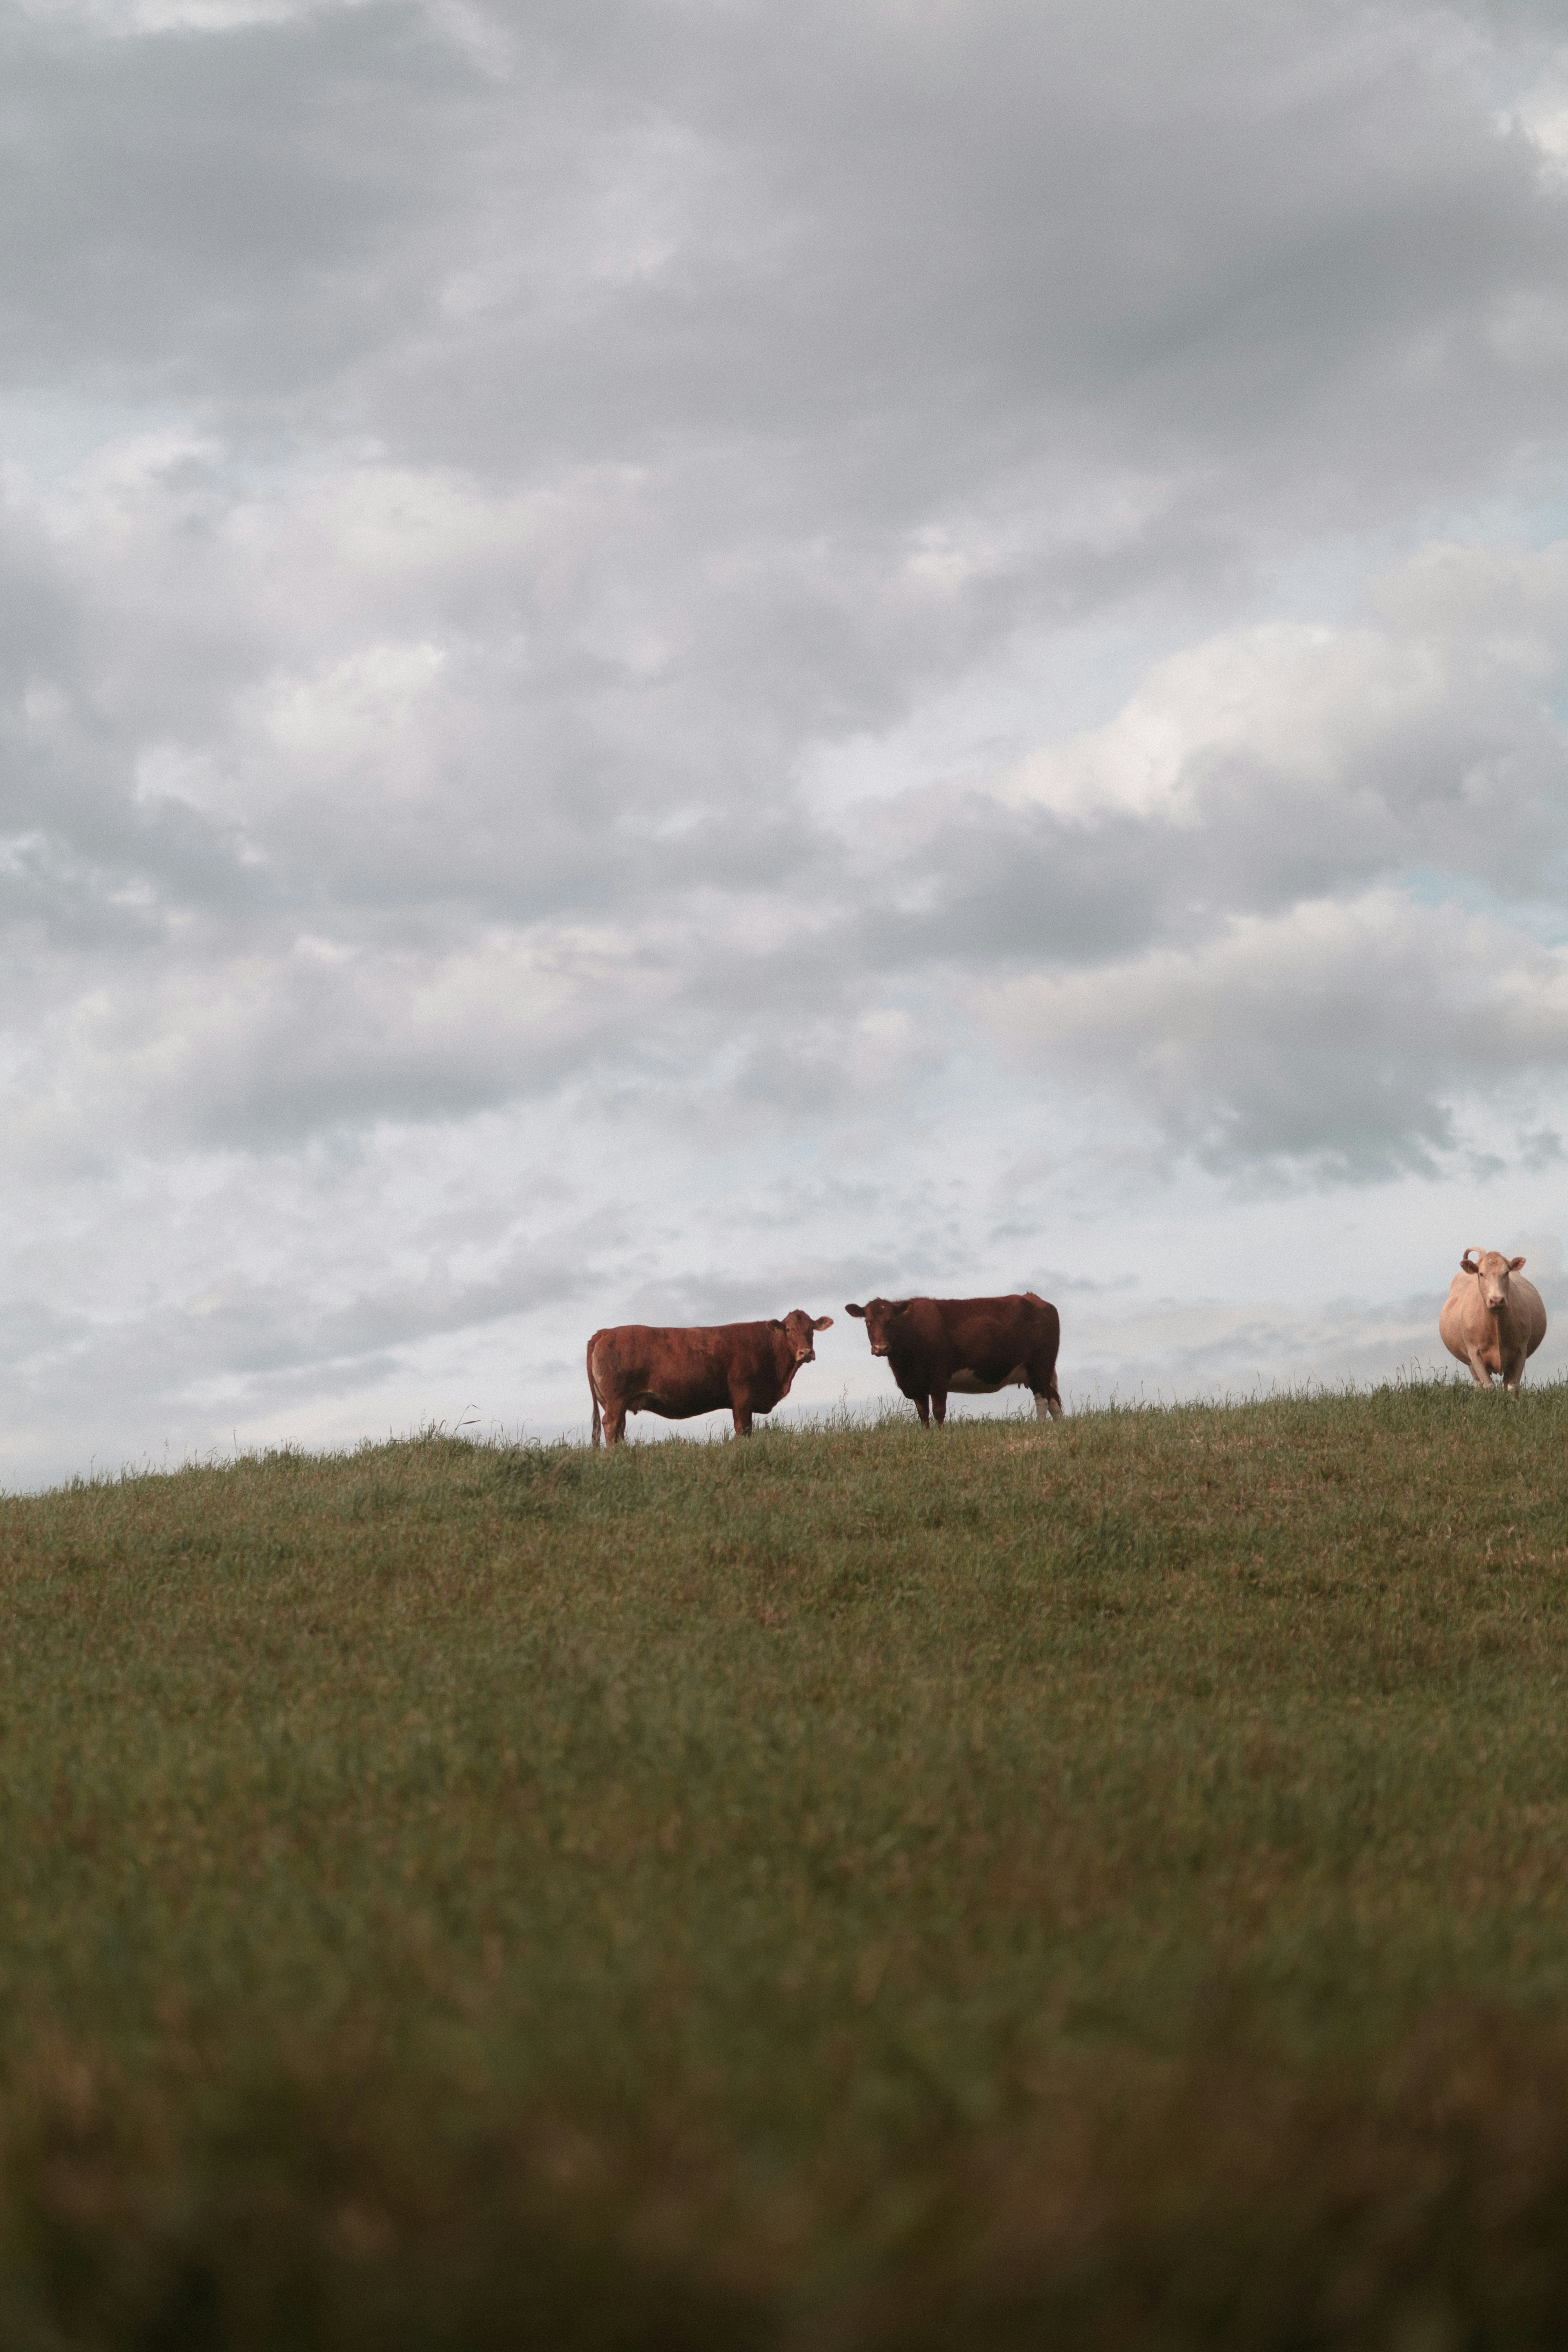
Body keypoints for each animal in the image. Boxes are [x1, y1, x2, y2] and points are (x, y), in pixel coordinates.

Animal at [587, 1311, 833, 1446]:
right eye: (789, 1329)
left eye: (811, 1329)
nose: (806, 1352)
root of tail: (605, 1332)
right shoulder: (742, 1396)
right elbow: (744, 1428)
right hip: (616, 1399)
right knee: (611, 1424)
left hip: (613, 1402)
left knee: (619, 1427)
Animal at [844, 1292, 1063, 1427]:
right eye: (868, 1322)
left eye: (891, 1321)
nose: (881, 1348)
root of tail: (1035, 1299)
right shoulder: (916, 1386)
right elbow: (923, 1415)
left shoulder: (939, 1378)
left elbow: (939, 1411)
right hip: (1036, 1372)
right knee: (1054, 1400)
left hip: (1040, 1366)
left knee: (1043, 1399)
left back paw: (1040, 1427)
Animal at [1439, 1248, 1547, 1394]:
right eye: (1481, 1274)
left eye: (1506, 1273)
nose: (1497, 1300)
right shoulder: (1475, 1353)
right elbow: (1489, 1386)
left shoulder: (1521, 1351)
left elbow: (1513, 1387)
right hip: (1470, 1363)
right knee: (1478, 1383)